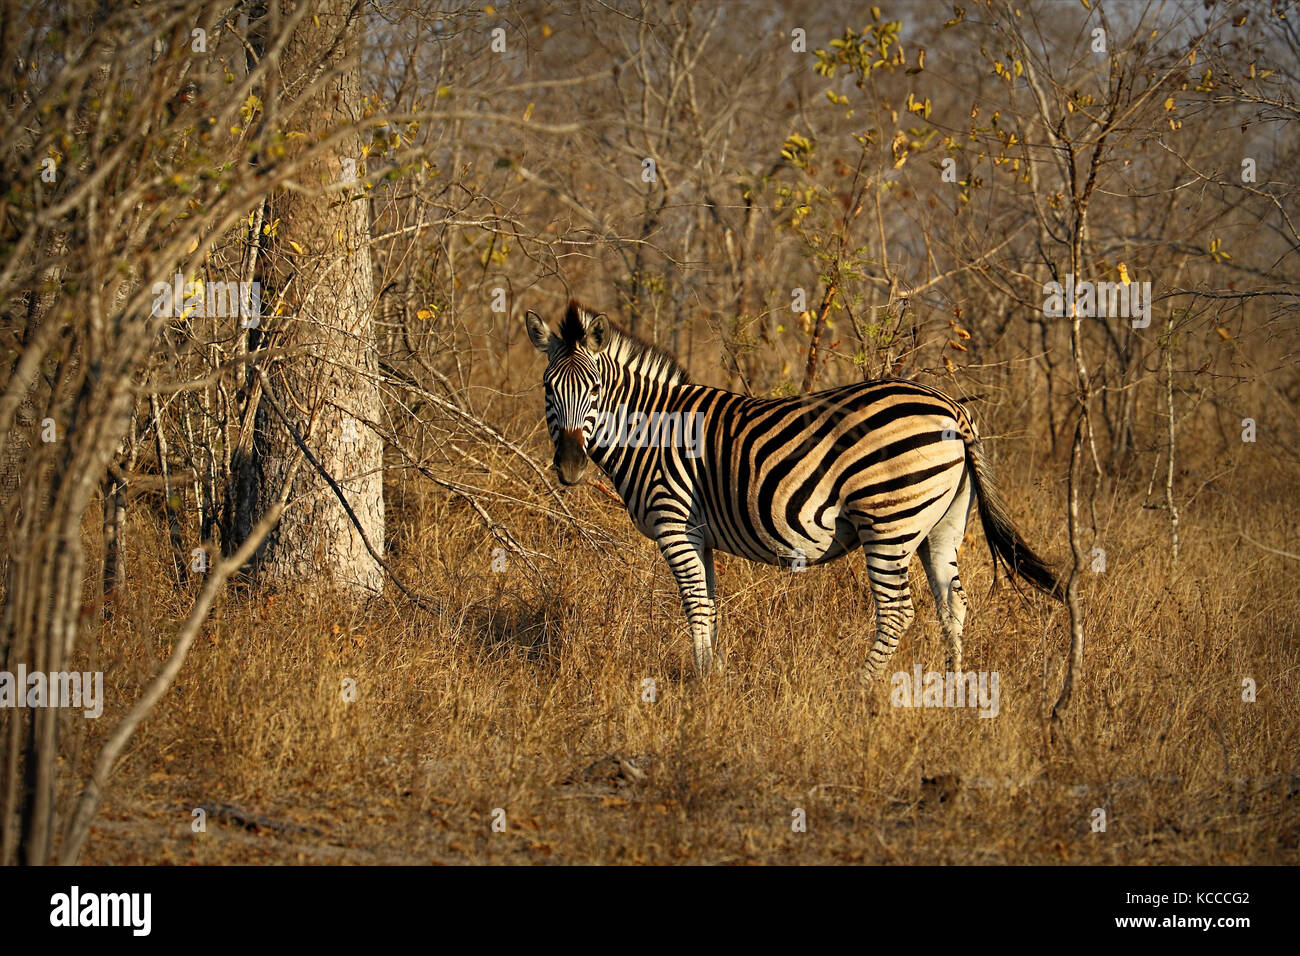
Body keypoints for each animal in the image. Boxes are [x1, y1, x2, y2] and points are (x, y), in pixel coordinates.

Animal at [525, 300, 1063, 679]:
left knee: (897, 612)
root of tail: (952, 408)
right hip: (943, 523)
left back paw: (858, 690)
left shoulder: (675, 523)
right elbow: (710, 603)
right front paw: (715, 676)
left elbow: (695, 604)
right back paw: (953, 693)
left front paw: (700, 682)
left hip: (888, 521)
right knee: (953, 606)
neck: (649, 430)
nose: (569, 468)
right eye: (548, 389)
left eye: (595, 389)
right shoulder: (701, 534)